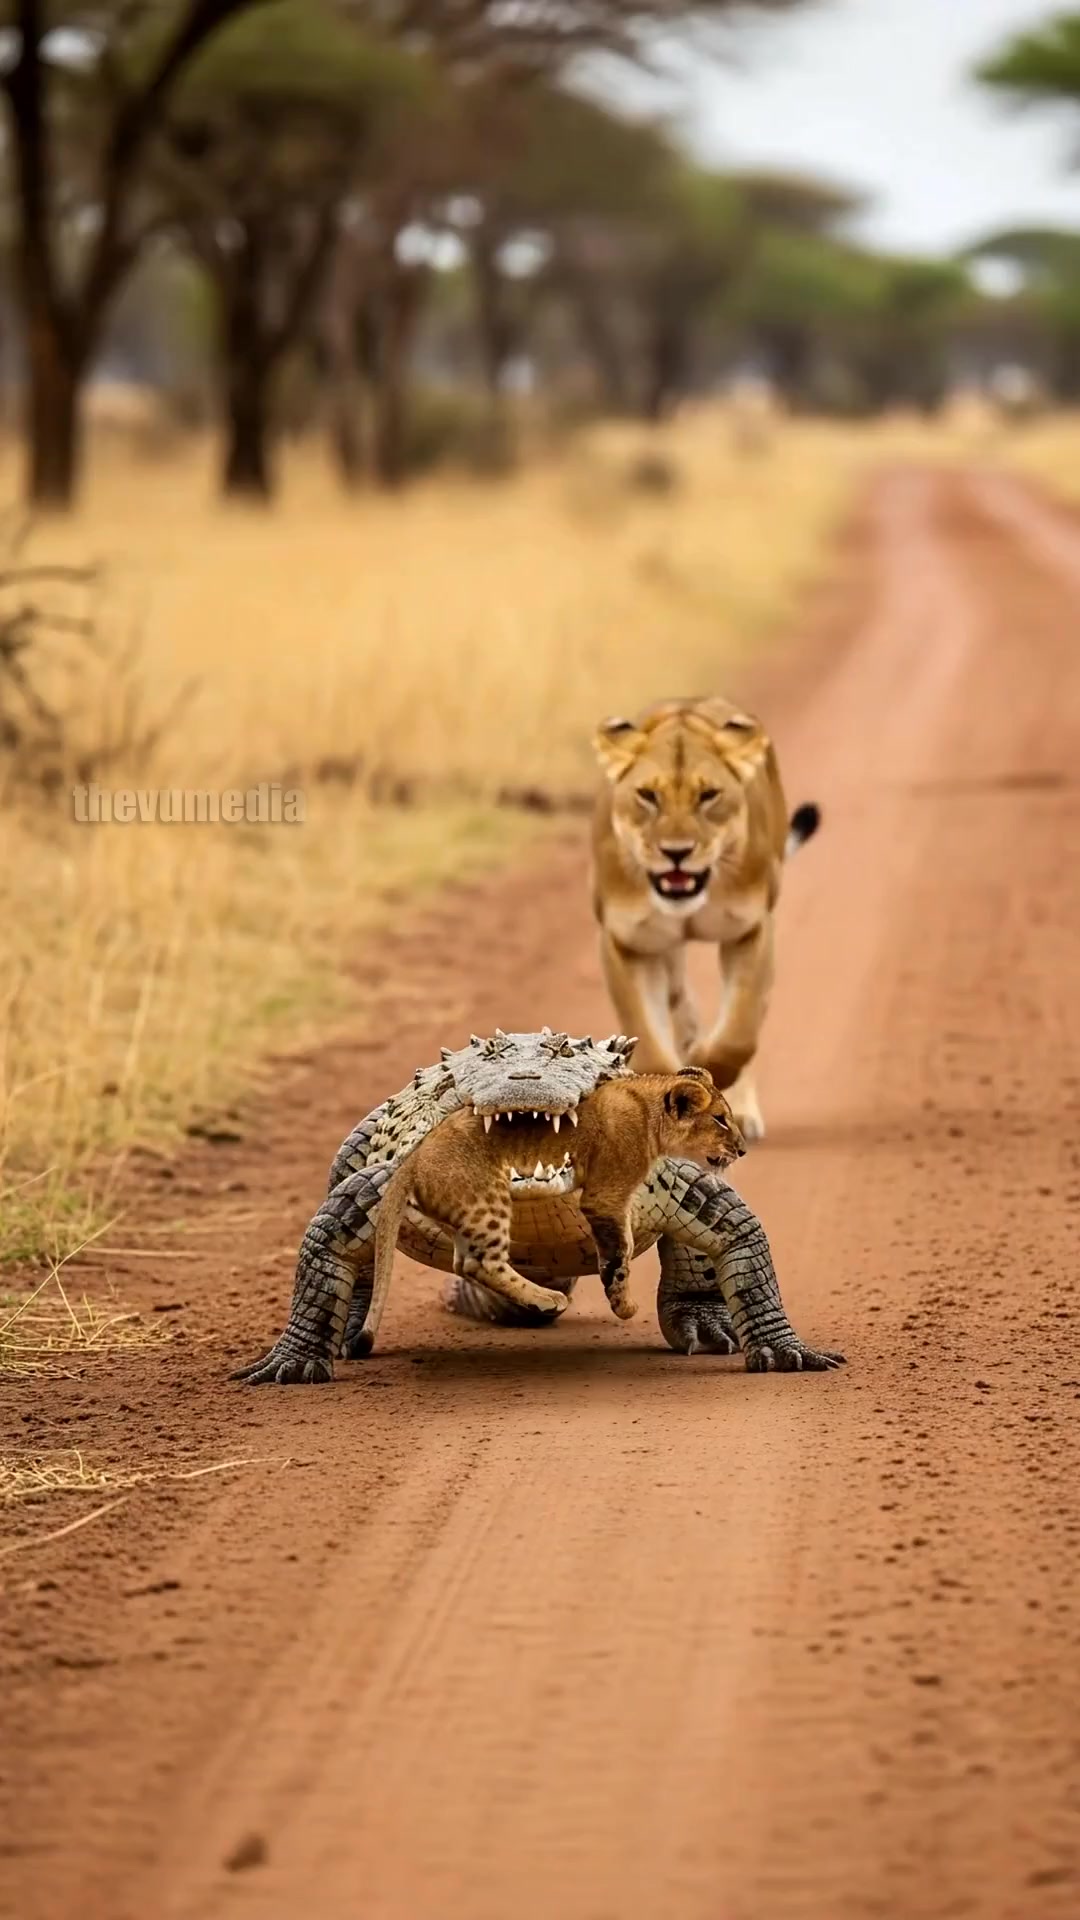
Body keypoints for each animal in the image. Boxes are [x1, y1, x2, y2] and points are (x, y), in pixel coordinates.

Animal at [372, 1066, 744, 1329]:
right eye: (720, 1120)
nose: (742, 1149)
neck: (647, 1110)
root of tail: (412, 1160)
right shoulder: (604, 1195)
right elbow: (619, 1252)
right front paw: (623, 1305)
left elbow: (619, 1245)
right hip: (487, 1200)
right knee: (482, 1262)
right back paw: (548, 1298)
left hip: (465, 1215)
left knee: (465, 1262)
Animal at [590, 695, 820, 1142]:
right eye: (648, 795)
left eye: (708, 795)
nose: (676, 852)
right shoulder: (626, 941)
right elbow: (652, 1048)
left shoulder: (751, 928)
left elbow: (738, 1034)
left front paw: (707, 1067)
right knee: (679, 1000)